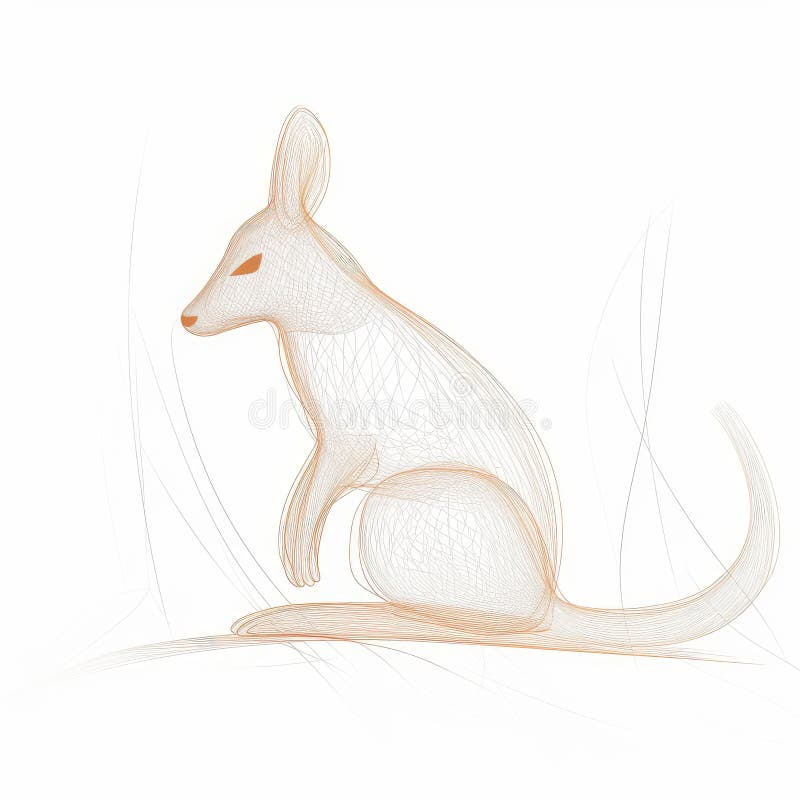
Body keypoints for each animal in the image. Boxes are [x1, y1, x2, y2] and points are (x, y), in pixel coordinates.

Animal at [181, 107, 777, 656]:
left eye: (250, 264)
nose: (187, 319)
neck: (327, 313)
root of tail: (549, 603)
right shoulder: (326, 445)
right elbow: (305, 486)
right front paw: (291, 556)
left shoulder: (347, 444)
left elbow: (316, 494)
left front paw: (299, 568)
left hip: (392, 512)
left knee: (473, 625)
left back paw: (324, 615)